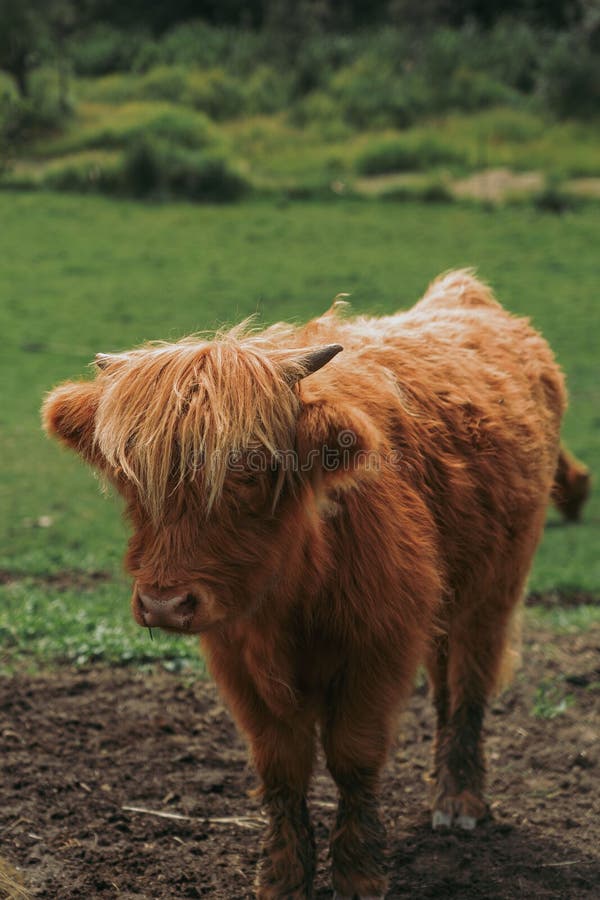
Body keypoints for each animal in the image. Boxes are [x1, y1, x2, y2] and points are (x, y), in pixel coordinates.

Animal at [43, 271, 589, 899]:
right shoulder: (235, 657)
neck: (290, 594)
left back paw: (460, 799)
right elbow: (280, 765)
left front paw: (358, 872)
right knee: (446, 684)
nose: (163, 604)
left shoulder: (380, 646)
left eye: (249, 467)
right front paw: (283, 876)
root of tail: (464, 293)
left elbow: (354, 758)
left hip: (495, 589)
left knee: (471, 682)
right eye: (129, 473)